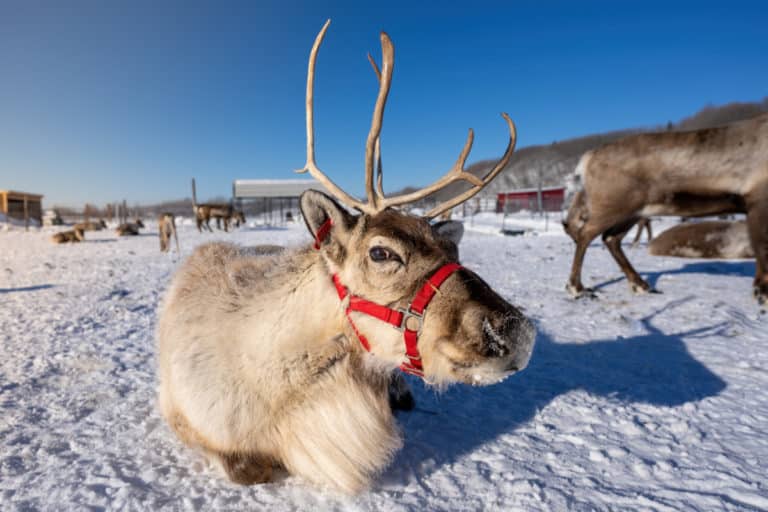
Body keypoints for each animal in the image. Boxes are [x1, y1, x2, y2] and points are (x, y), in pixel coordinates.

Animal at [562, 113, 768, 305]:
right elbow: (762, 250)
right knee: (586, 235)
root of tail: (589, 157)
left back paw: (641, 284)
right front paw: (763, 294)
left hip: (633, 212)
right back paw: (577, 288)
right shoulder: (757, 200)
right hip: (613, 207)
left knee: (610, 238)